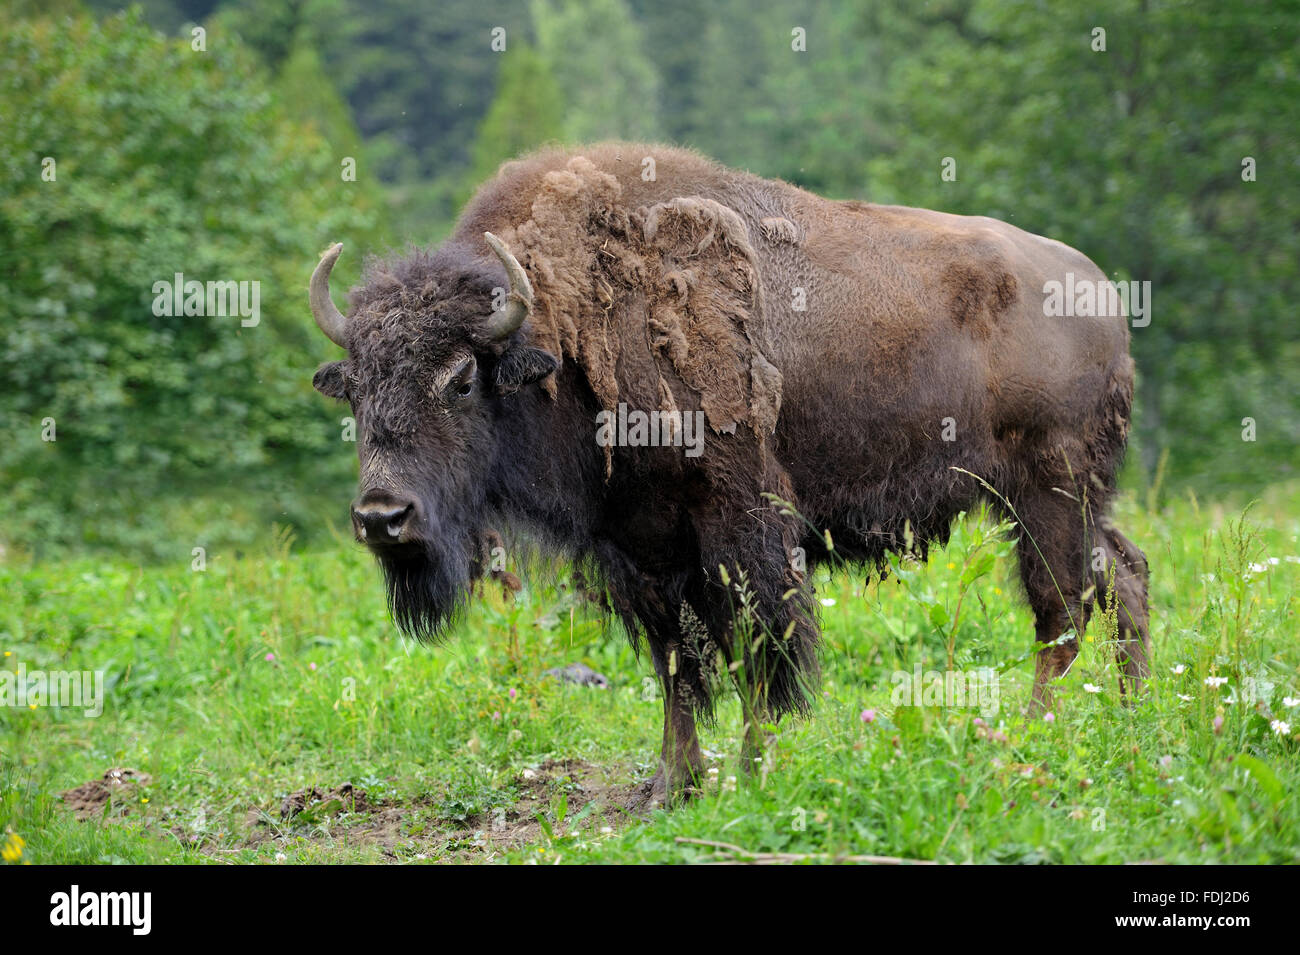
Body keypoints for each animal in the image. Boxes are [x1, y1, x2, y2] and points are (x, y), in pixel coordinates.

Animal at [308, 143, 1150, 806]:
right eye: (353, 386)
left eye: (459, 379)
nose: (382, 517)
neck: (570, 333)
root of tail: (1100, 291)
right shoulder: (642, 549)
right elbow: (677, 664)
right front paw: (669, 785)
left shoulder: (737, 529)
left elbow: (758, 648)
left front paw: (755, 768)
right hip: (1066, 500)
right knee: (1123, 572)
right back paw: (1130, 717)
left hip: (1045, 494)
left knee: (1061, 610)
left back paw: (1027, 738)